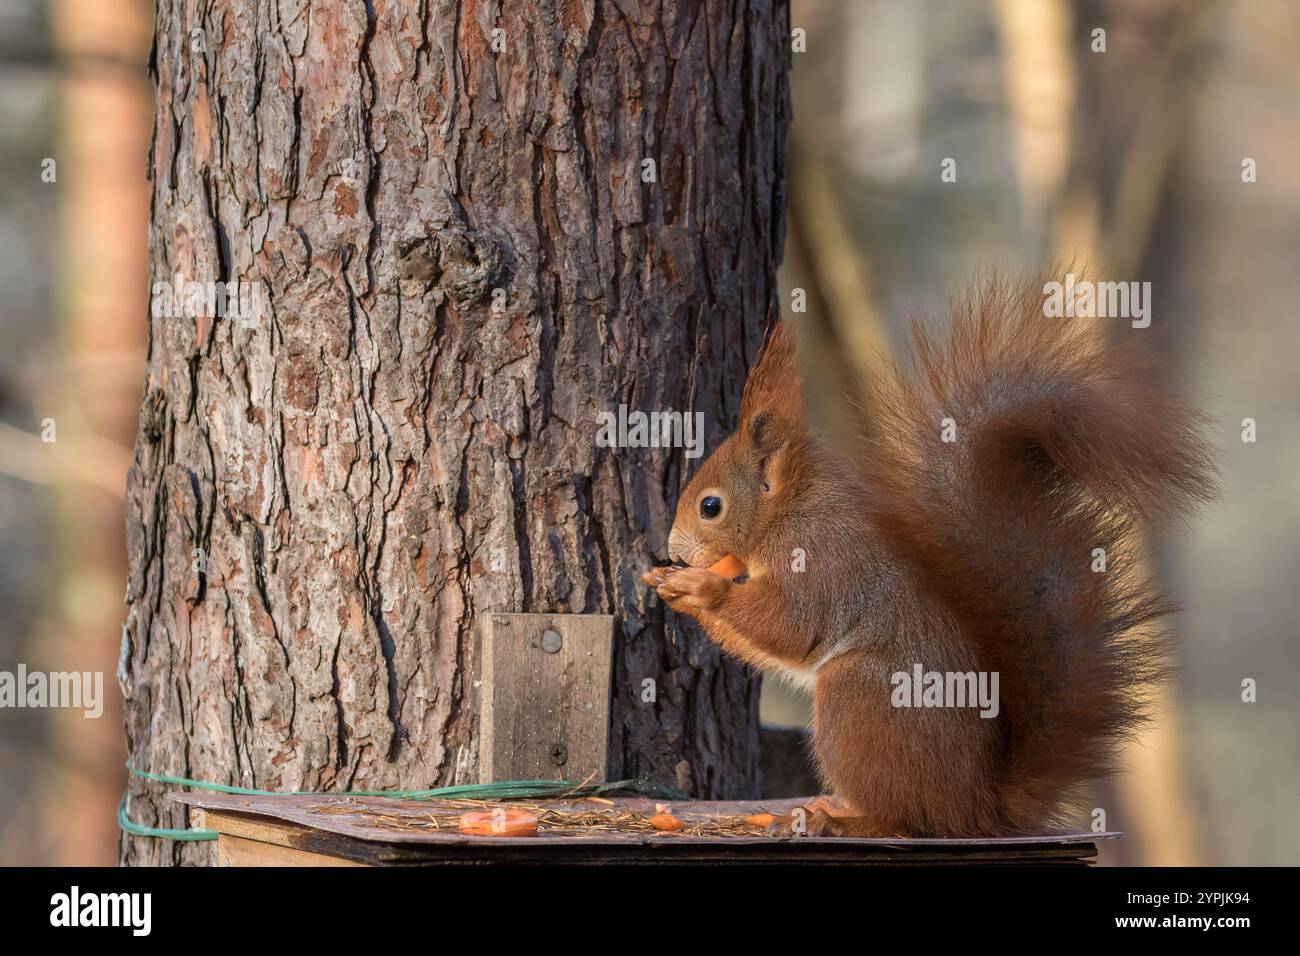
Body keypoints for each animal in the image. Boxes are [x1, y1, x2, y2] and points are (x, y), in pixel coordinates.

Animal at [643, 274, 1217, 837]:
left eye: (711, 506)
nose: (672, 551)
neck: (790, 511)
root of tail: (975, 806)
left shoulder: (822, 559)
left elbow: (789, 625)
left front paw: (703, 588)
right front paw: (673, 589)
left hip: (859, 697)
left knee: (906, 819)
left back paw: (839, 819)